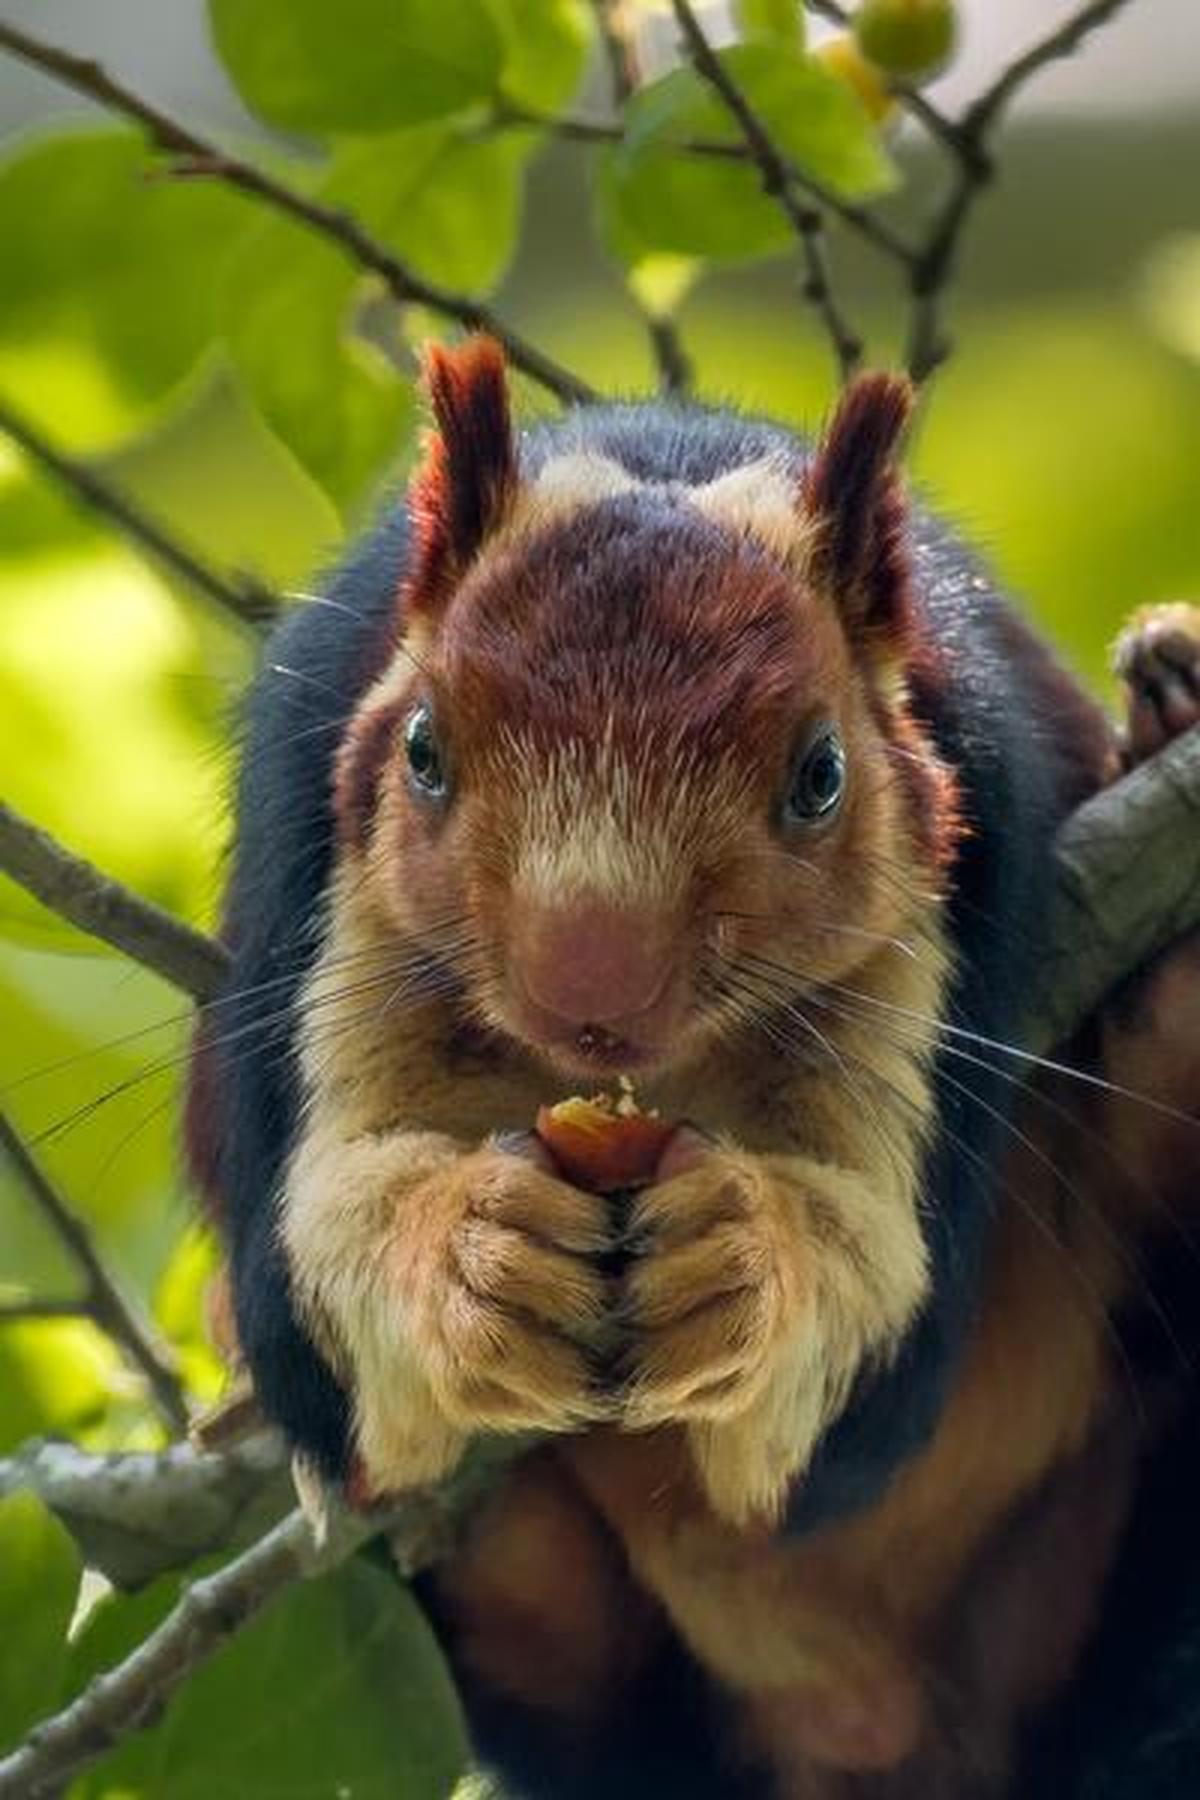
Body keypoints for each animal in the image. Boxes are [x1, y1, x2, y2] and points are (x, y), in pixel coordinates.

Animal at [186, 337, 1200, 1797]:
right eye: (423, 748)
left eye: (821, 774)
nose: (593, 988)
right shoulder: (313, 851)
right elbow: (308, 1301)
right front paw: (468, 1255)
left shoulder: (977, 867)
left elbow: (866, 1384)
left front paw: (745, 1265)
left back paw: (1170, 748)